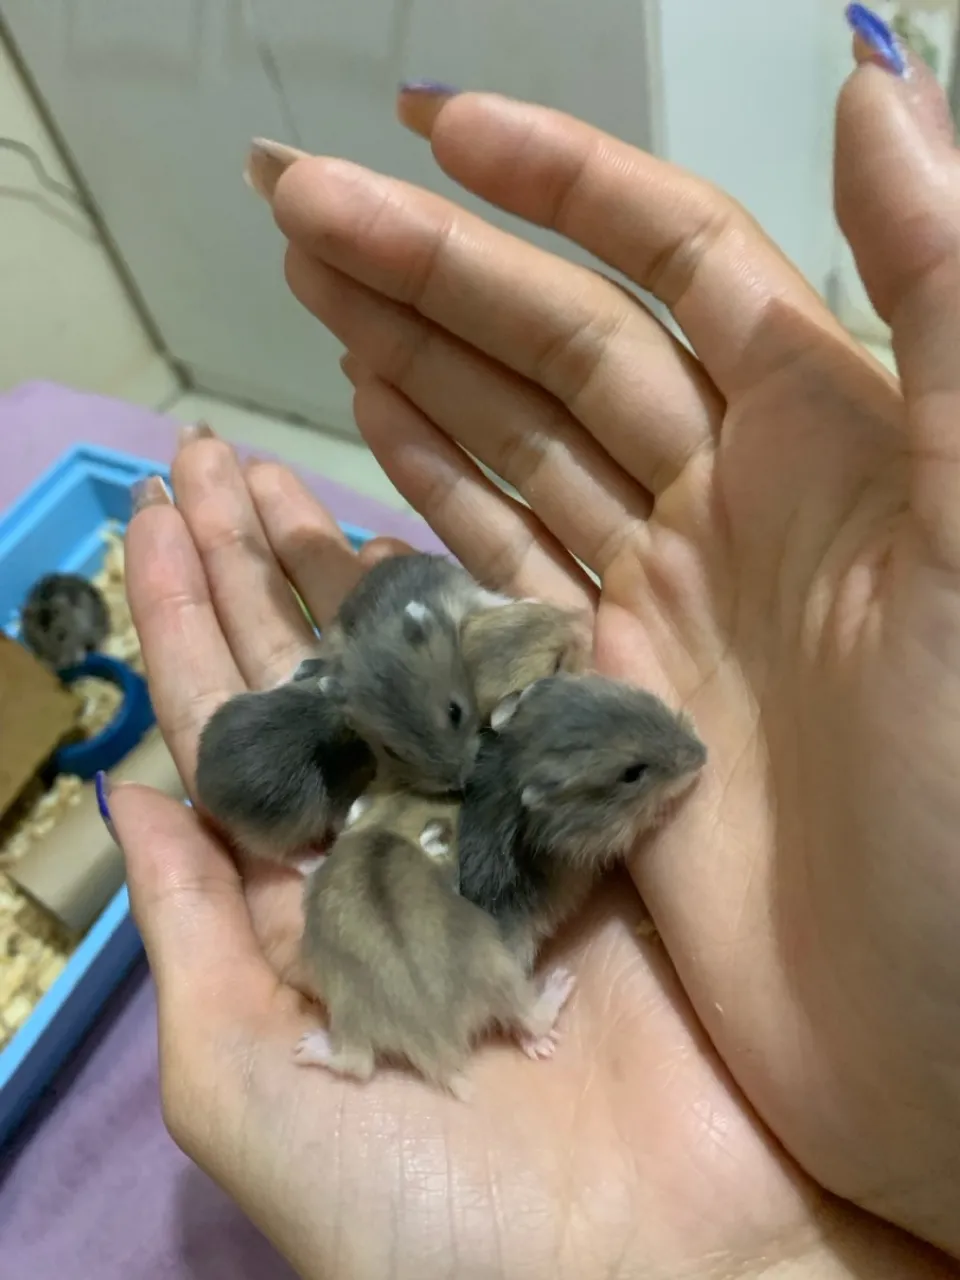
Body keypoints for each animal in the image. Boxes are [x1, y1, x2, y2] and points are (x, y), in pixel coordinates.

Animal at [296, 786, 575, 1094]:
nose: (458, 798)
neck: (387, 826)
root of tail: (441, 1042)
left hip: (348, 1006)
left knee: (358, 1063)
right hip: (498, 969)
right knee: (532, 1018)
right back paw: (560, 983)